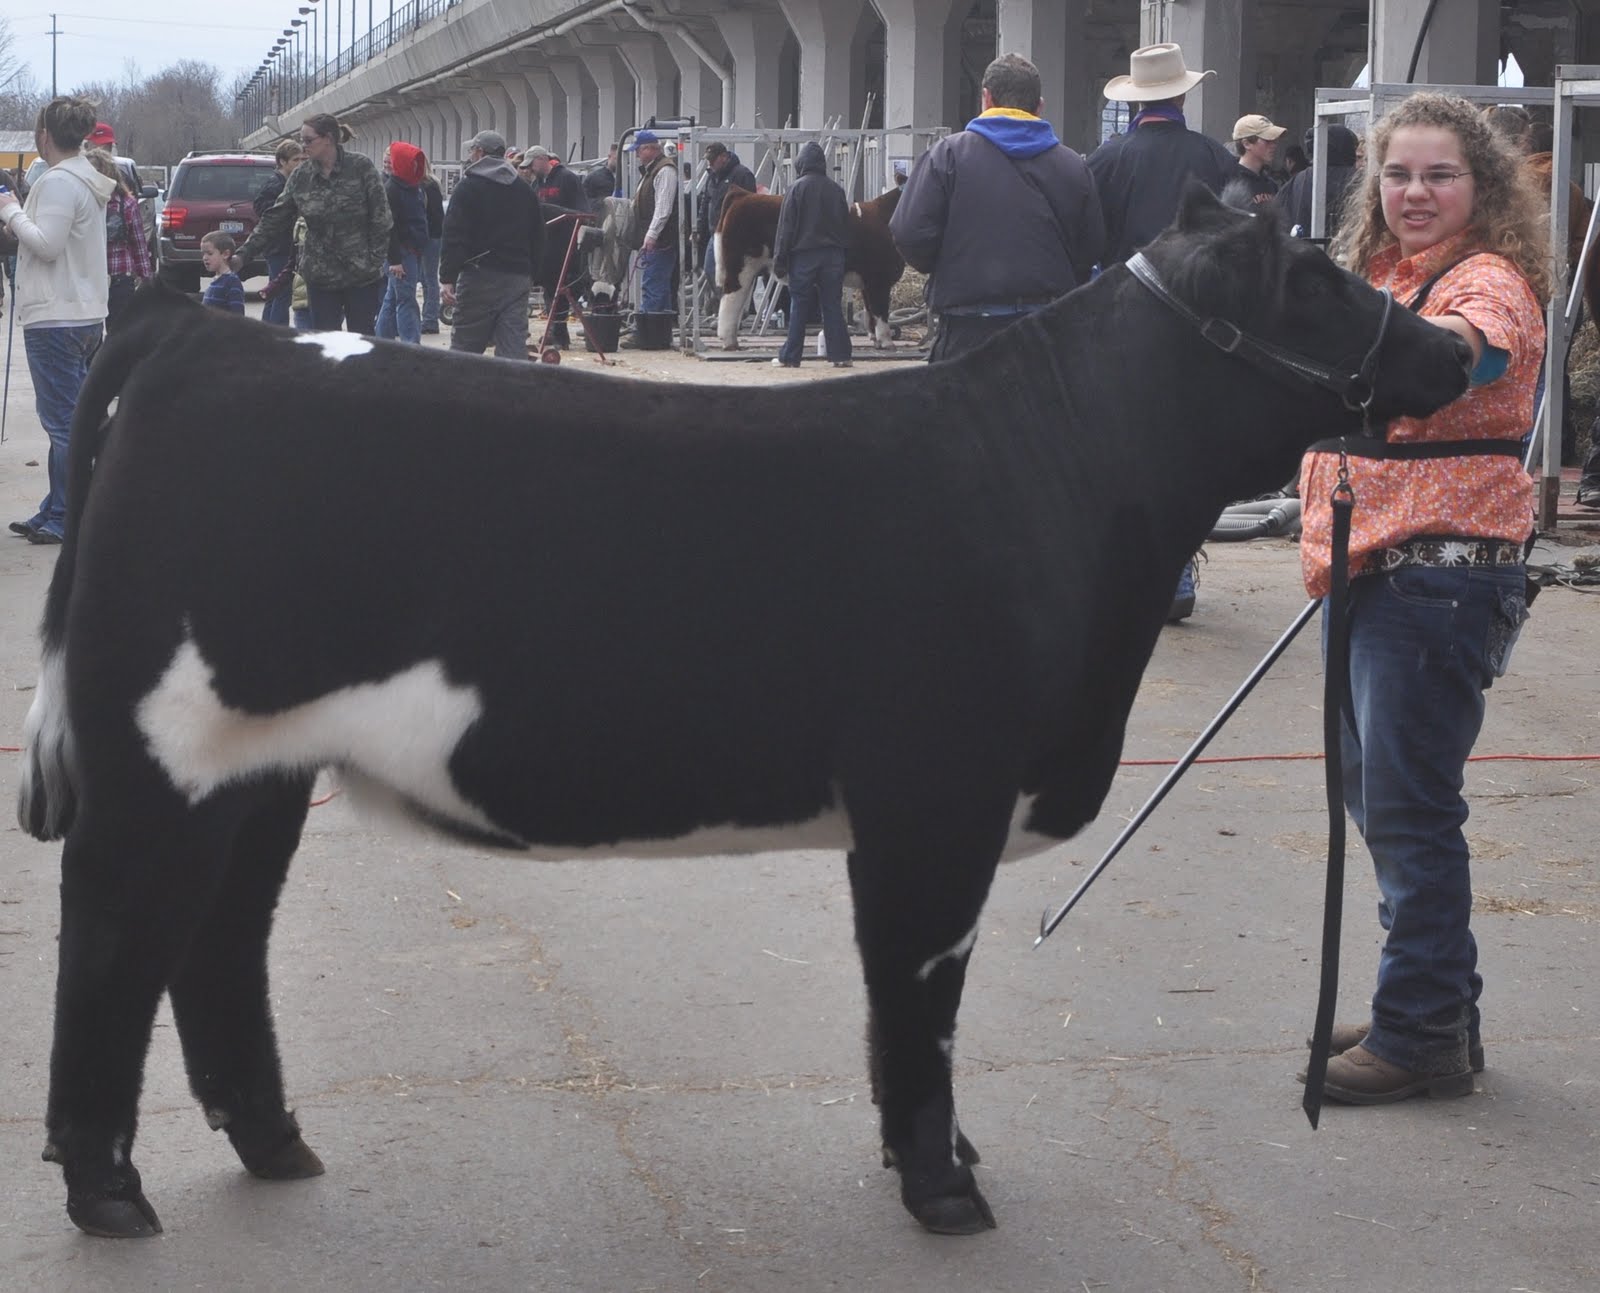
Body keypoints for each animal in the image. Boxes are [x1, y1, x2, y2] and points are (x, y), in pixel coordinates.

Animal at [714, 186, 905, 350]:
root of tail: (743, 194)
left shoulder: (867, 283)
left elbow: (870, 312)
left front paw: (876, 340)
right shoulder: (879, 280)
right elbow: (880, 312)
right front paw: (887, 342)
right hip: (741, 266)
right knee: (730, 298)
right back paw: (729, 341)